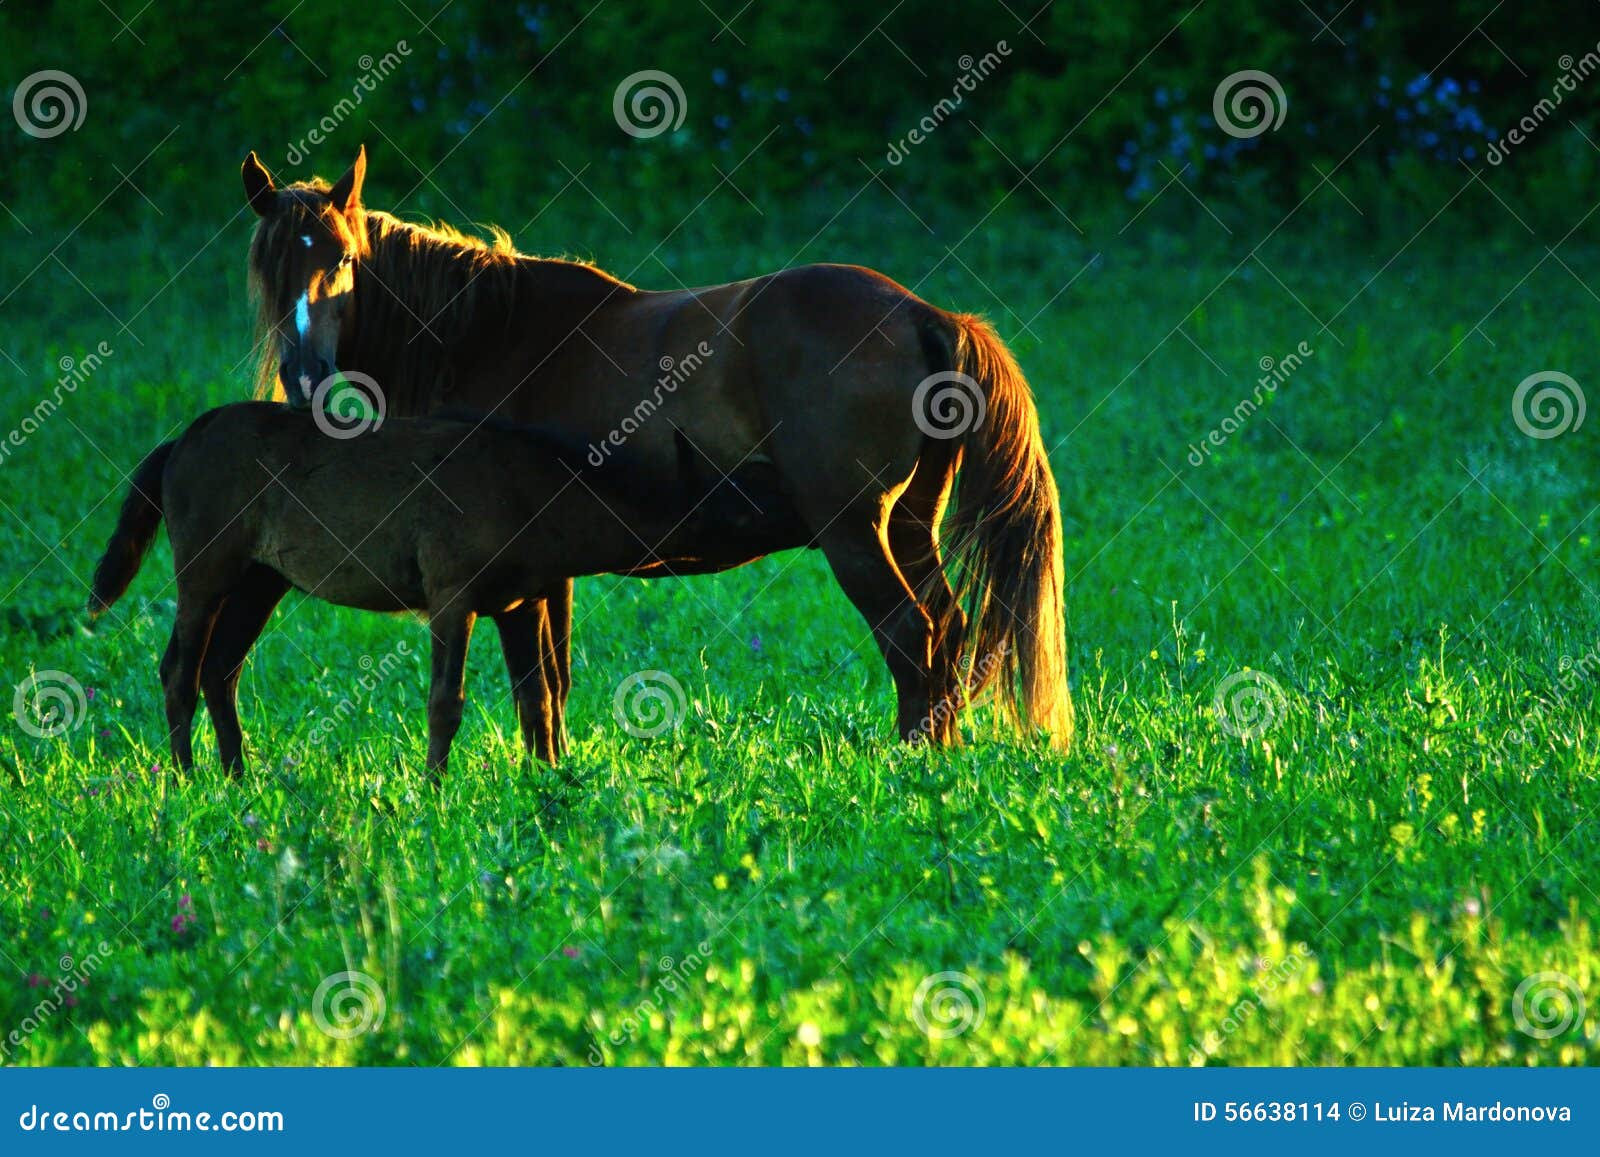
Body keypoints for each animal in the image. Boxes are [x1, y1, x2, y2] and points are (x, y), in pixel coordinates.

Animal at [88, 402, 798, 775]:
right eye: (756, 493)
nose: (812, 508)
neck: (548, 503)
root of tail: (175, 446)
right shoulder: (451, 590)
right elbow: (445, 702)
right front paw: (434, 790)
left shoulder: (521, 599)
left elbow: (538, 697)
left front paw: (546, 777)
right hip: (206, 562)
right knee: (179, 669)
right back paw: (186, 777)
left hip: (264, 578)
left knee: (220, 668)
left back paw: (239, 777)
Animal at [238, 145, 1073, 750]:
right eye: (268, 268)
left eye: (343, 259)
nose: (307, 377)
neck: (490, 336)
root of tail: (925, 316)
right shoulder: (547, 570)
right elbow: (551, 684)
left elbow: (533, 685)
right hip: (907, 526)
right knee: (948, 634)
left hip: (855, 532)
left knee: (911, 637)